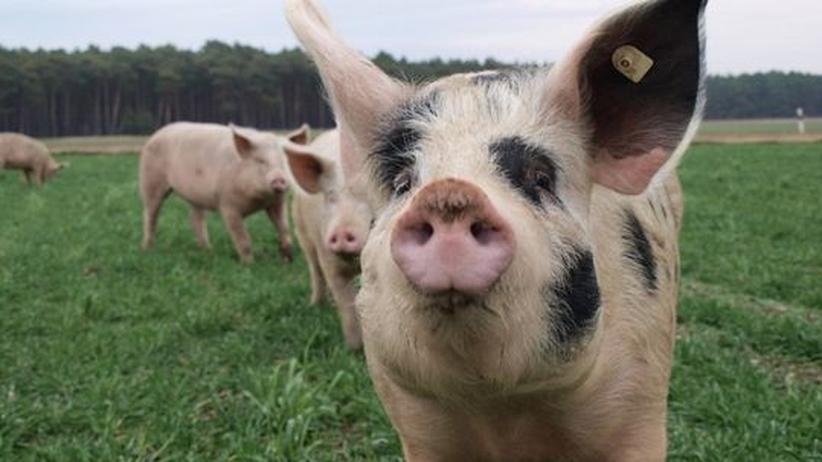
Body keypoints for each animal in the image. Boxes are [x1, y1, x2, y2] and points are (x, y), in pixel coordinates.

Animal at [139, 122, 306, 263]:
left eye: (287, 161)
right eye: (260, 161)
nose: (279, 179)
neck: (258, 200)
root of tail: (157, 133)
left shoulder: (277, 202)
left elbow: (284, 228)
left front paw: (288, 259)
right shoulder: (227, 205)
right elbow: (243, 238)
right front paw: (249, 264)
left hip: (196, 196)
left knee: (195, 218)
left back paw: (207, 250)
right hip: (150, 180)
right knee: (150, 214)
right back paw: (148, 249)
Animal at [286, 129, 373, 350]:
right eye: (331, 195)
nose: (342, 232)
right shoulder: (328, 257)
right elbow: (345, 302)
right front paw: (354, 348)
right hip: (302, 232)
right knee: (314, 269)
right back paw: (316, 304)